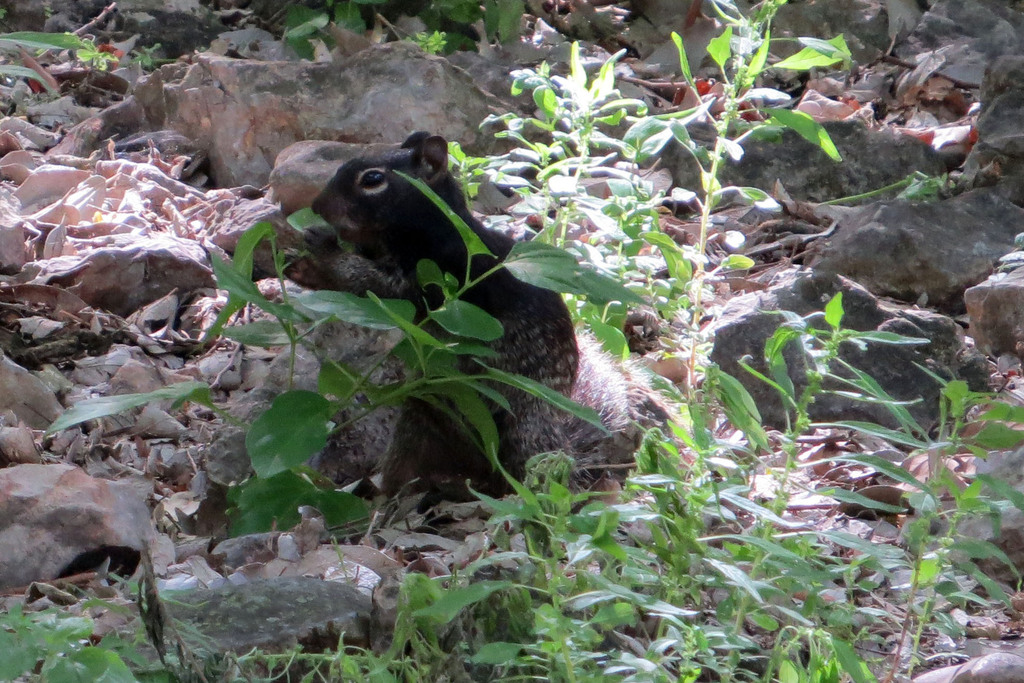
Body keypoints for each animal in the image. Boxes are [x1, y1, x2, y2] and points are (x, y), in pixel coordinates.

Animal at [289, 132, 665, 498]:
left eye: (373, 179)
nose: (317, 206)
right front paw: (305, 267)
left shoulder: (436, 276)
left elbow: (379, 286)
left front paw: (322, 248)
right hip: (418, 418)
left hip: (523, 432)